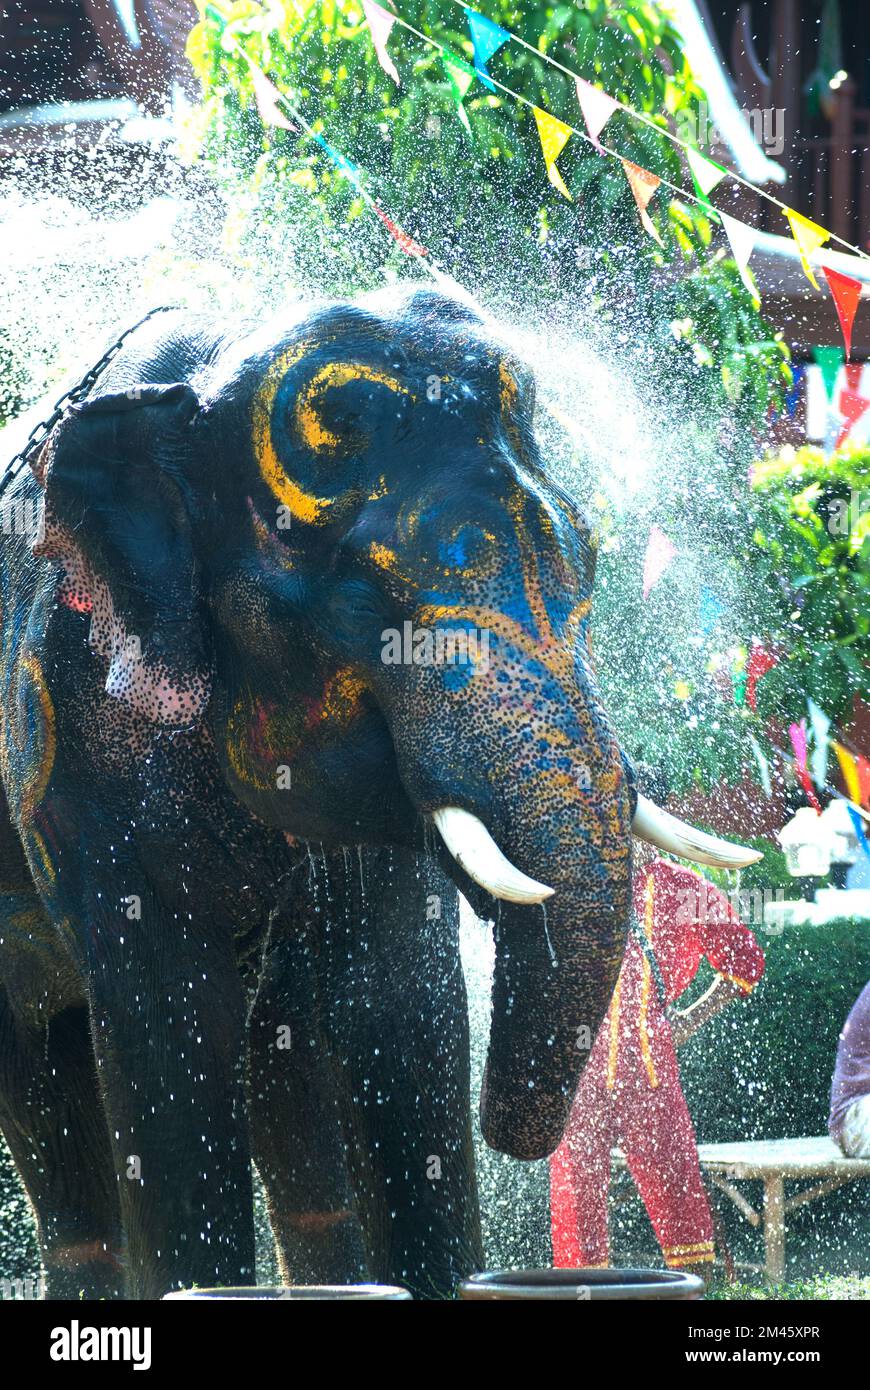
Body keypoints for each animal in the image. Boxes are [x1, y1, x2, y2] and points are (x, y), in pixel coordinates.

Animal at [0, 286, 757, 1299]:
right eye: (362, 606)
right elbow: (169, 1014)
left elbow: (397, 1001)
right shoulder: (71, 721)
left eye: (590, 558)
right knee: (48, 1090)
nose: (512, 1135)